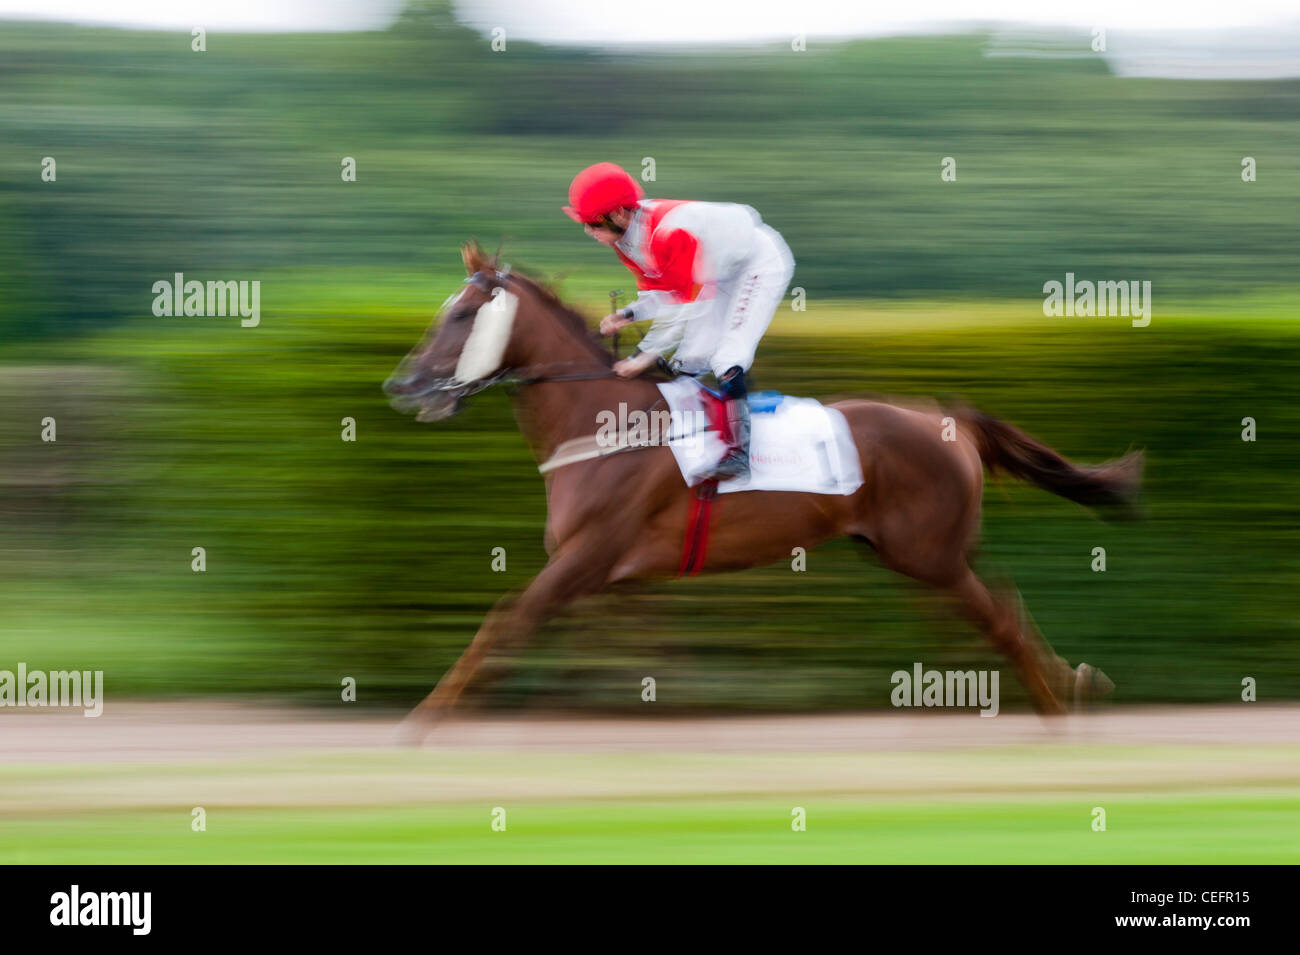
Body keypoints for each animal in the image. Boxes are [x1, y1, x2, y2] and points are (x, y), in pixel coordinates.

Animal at [384, 241, 1142, 735]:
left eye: (460, 315)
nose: (401, 385)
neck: (599, 421)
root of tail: (945, 417)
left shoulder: (584, 558)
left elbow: (504, 623)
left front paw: (424, 719)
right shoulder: (616, 576)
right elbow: (632, 648)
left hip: (927, 555)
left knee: (1000, 620)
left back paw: (1058, 710)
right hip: (922, 557)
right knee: (1000, 606)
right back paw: (1072, 685)